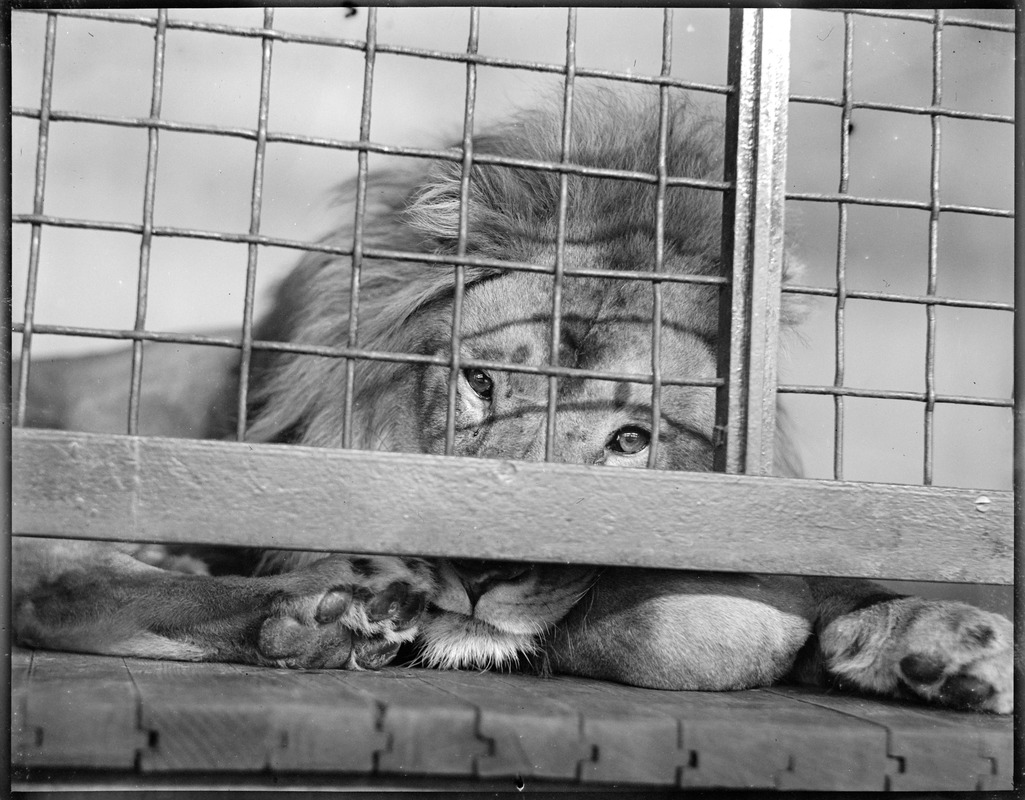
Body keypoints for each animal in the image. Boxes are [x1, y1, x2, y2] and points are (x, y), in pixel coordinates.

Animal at [13, 90, 1012, 713]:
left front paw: (932, 642)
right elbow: (669, 629)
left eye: (630, 440)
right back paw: (317, 612)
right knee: (47, 582)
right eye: (482, 381)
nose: (477, 569)